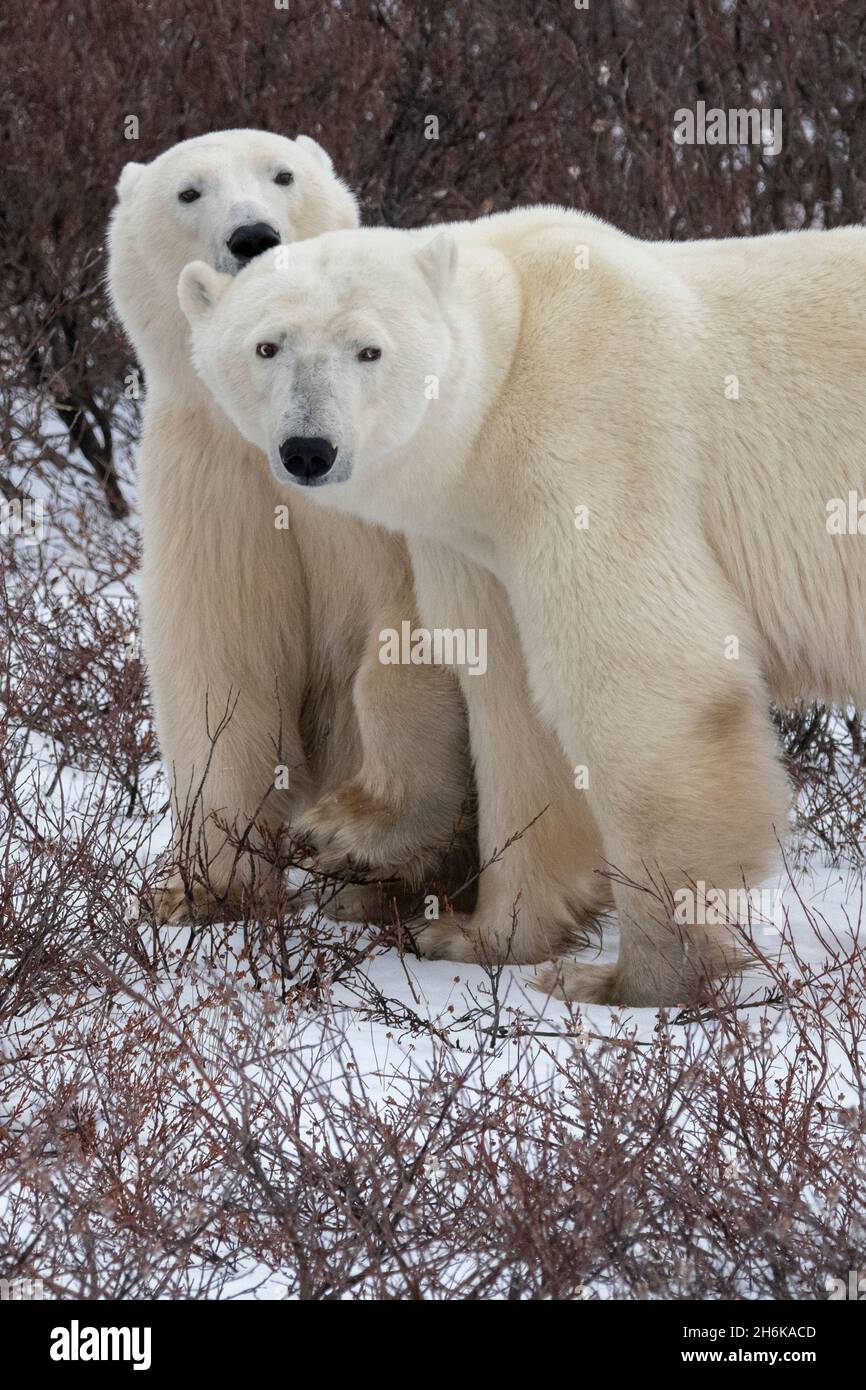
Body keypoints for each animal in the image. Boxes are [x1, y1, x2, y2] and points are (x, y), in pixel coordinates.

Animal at [106, 130, 474, 922]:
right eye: (189, 191)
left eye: (283, 175)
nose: (253, 237)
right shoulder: (215, 480)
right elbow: (221, 659)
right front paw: (203, 888)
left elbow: (414, 624)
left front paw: (361, 830)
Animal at [177, 208, 866, 1005]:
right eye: (267, 345)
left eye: (368, 349)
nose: (309, 450)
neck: (511, 363)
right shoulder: (477, 542)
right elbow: (507, 699)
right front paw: (475, 934)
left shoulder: (594, 450)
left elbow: (648, 680)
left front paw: (631, 979)